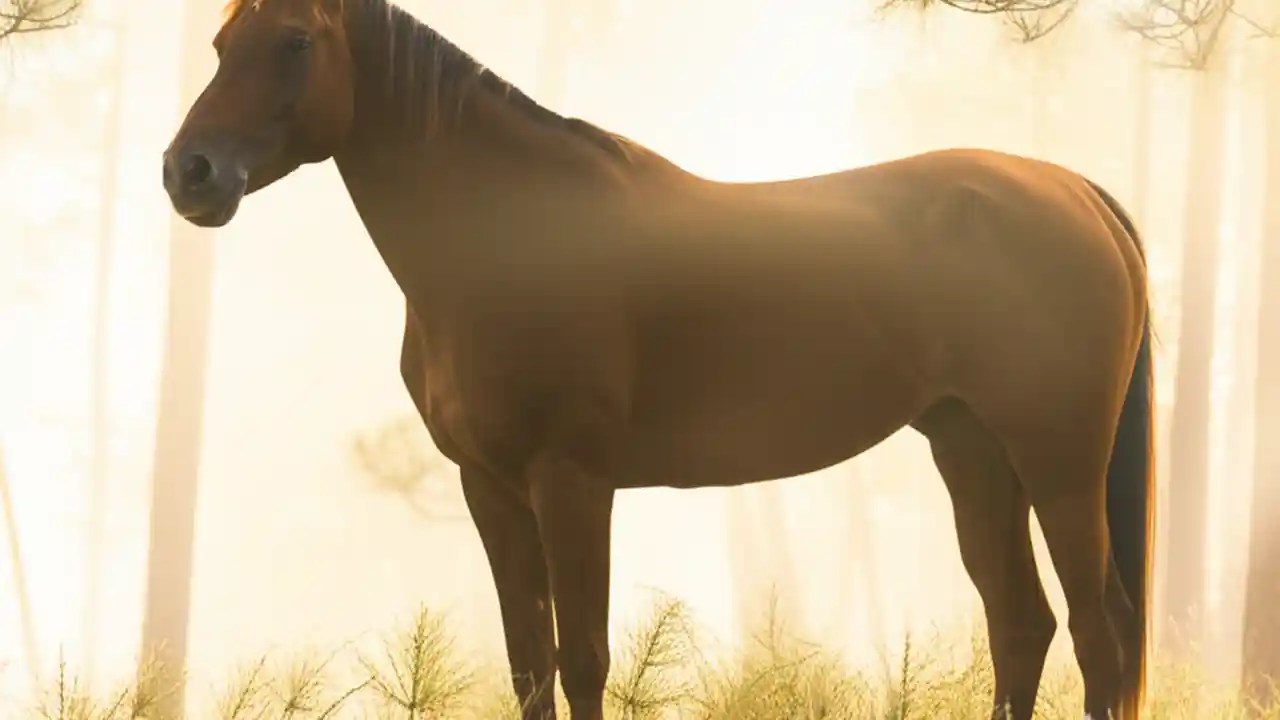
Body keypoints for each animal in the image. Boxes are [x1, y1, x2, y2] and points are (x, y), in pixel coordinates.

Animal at [161, 1, 1155, 718]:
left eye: (294, 41)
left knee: (1099, 636)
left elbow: (582, 659)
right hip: (973, 451)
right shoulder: (489, 485)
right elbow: (529, 664)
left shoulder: (570, 479)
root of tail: (1077, 194)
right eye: (219, 42)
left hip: (1060, 464)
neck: (512, 238)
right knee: (1021, 624)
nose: (188, 174)